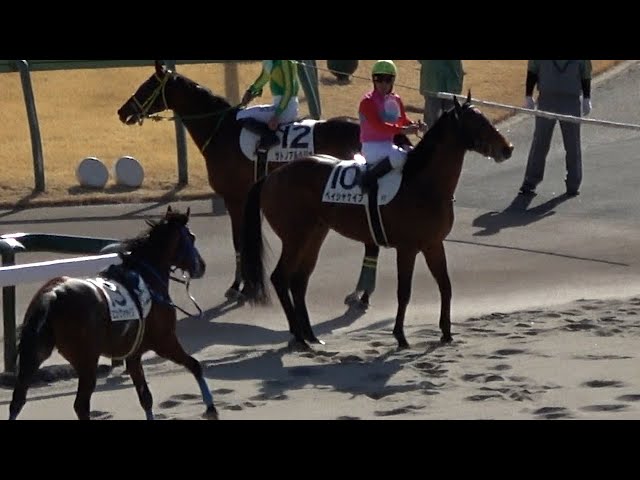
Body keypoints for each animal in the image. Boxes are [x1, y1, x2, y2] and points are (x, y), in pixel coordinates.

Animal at [8, 207, 219, 420]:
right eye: (192, 237)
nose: (201, 266)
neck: (147, 278)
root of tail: (53, 294)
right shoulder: (164, 341)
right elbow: (194, 365)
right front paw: (211, 407)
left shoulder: (133, 355)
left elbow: (145, 397)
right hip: (87, 361)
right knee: (81, 405)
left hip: (35, 354)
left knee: (18, 401)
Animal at [116, 60, 411, 309]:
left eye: (148, 85)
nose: (122, 111)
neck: (222, 131)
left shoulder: (234, 198)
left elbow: (239, 242)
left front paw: (239, 287)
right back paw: (361, 293)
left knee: (371, 243)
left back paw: (361, 294)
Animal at [240, 94, 514, 350]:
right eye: (477, 123)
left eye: (486, 119)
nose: (508, 148)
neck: (422, 183)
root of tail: (272, 176)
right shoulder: (407, 249)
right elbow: (404, 292)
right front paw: (400, 336)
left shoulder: (434, 245)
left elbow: (445, 286)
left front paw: (446, 333)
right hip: (294, 237)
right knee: (280, 277)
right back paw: (299, 336)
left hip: (315, 234)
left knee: (299, 280)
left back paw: (310, 335)